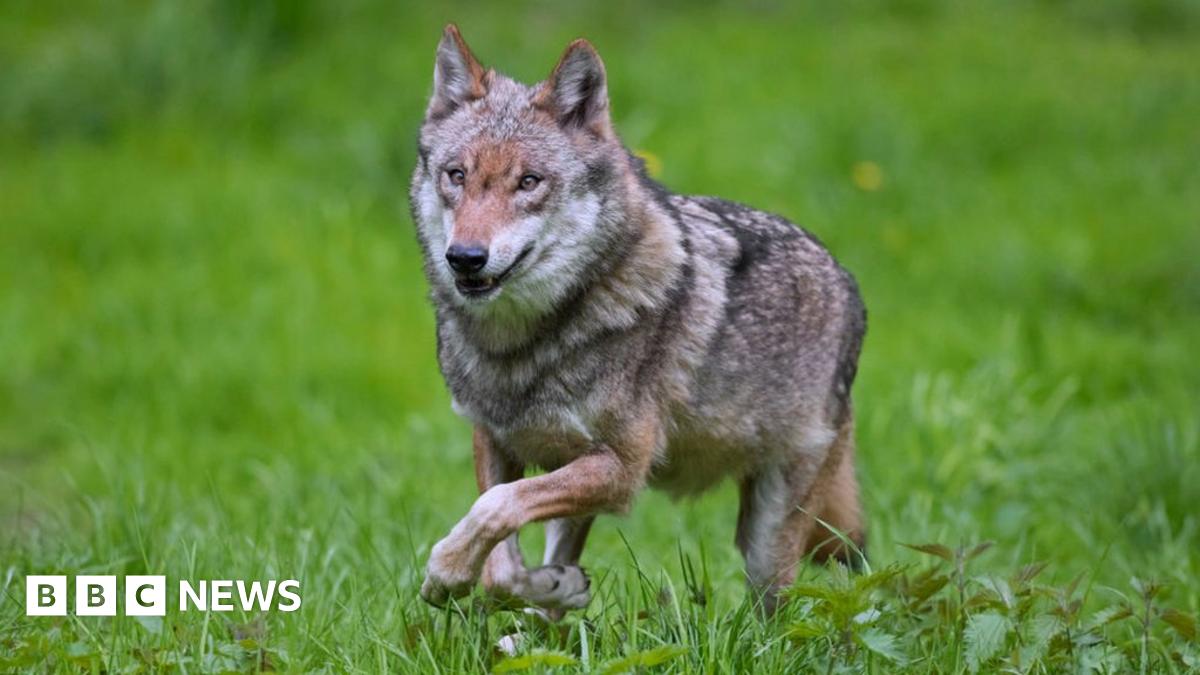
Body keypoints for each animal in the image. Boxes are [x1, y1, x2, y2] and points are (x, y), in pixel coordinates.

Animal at [410, 25, 867, 616]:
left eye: (529, 182)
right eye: (456, 176)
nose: (465, 258)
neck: (521, 345)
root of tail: (847, 280)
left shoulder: (622, 468)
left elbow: (494, 508)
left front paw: (444, 572)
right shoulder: (495, 441)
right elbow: (501, 562)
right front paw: (542, 584)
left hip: (768, 543)